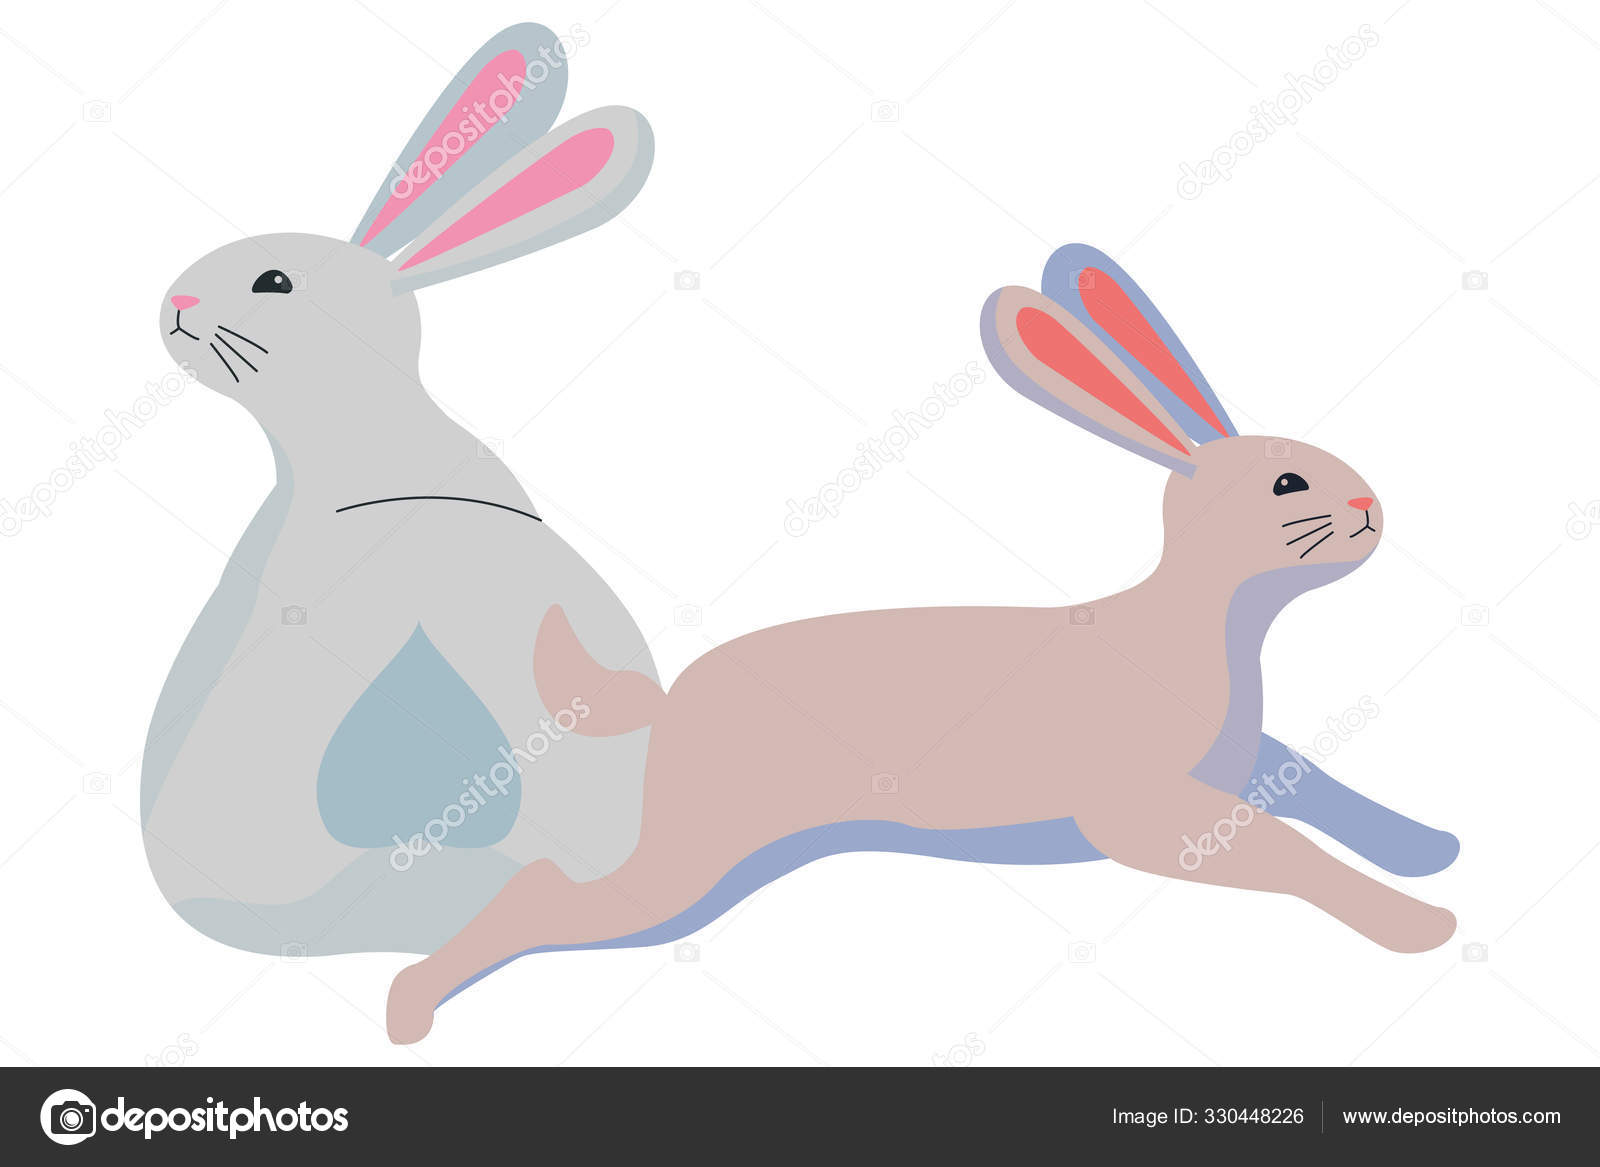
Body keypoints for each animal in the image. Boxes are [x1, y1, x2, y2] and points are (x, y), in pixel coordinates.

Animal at [385, 243, 1460, 1043]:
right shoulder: (1145, 813)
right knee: (547, 892)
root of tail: (673, 696)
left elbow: (1318, 786)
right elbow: (1285, 852)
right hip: (691, 857)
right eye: (1288, 484)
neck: (1203, 624)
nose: (1367, 507)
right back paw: (408, 1011)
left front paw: (1430, 847)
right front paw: (1420, 927)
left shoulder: (1238, 768)